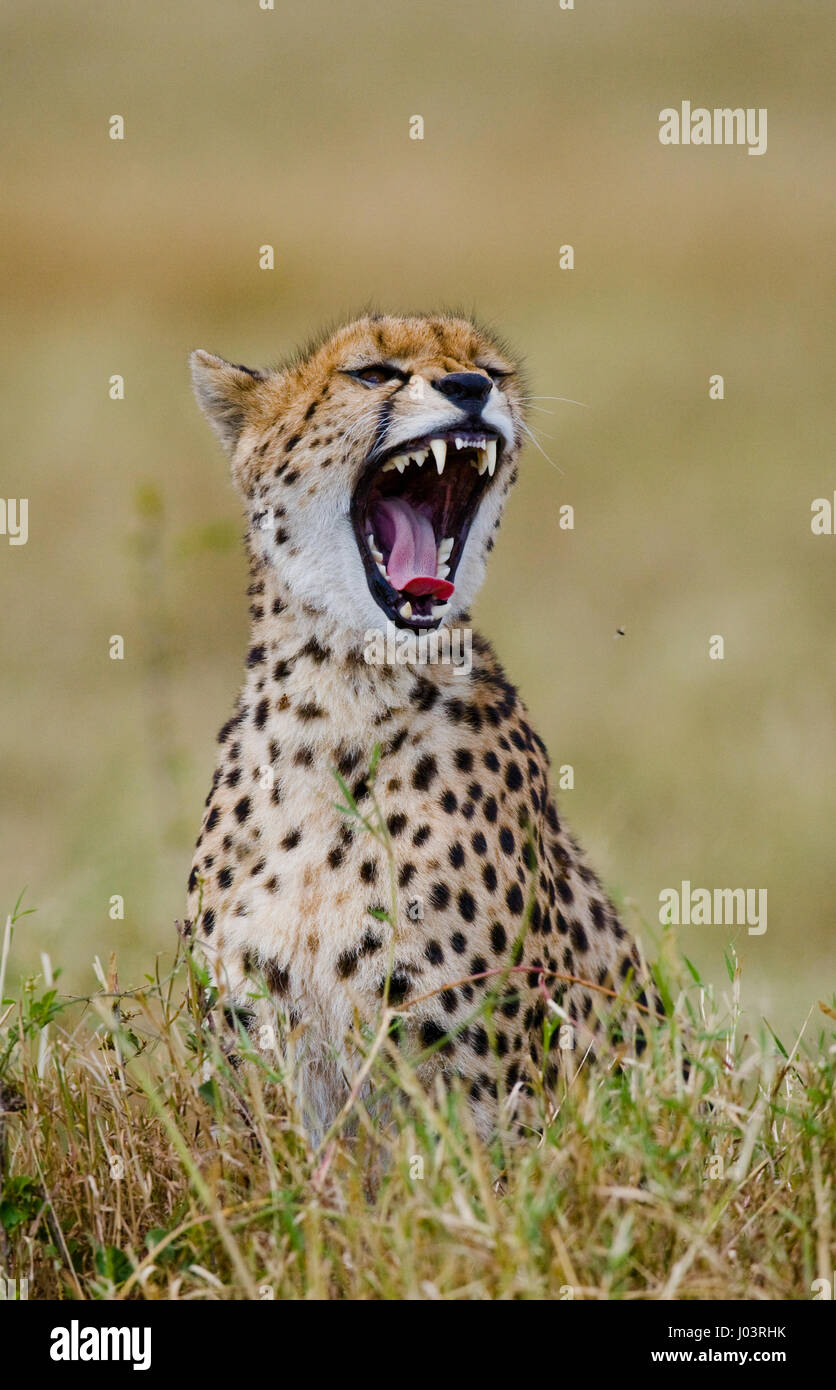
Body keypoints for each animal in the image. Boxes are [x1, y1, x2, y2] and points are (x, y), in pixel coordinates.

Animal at [185, 312, 661, 1145]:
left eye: (492, 370)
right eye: (373, 372)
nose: (470, 389)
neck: (341, 699)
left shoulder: (490, 1089)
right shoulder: (262, 1068)